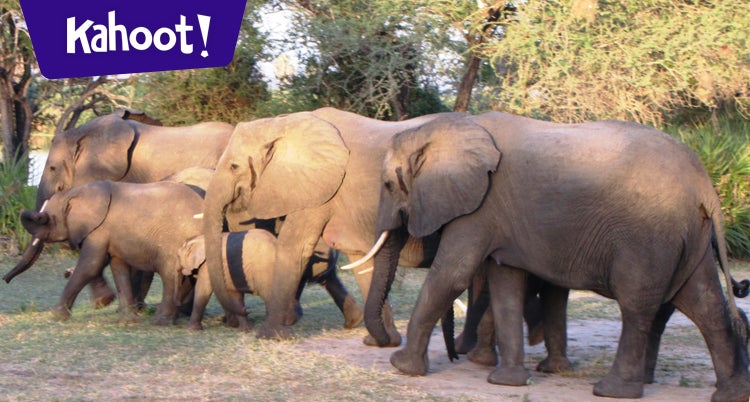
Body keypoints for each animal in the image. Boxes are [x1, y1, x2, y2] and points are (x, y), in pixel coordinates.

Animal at [18, 180, 204, 324]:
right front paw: (127, 321)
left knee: (169, 275)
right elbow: (118, 268)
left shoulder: (98, 231)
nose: (7, 280)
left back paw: (160, 321)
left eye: (45, 219)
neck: (75, 192)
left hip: (175, 242)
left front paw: (57, 315)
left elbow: (90, 266)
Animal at [176, 231, 363, 331]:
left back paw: (284, 323)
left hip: (265, 270)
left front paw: (192, 330)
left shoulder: (209, 266)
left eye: (178, 258)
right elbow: (234, 295)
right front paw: (244, 329)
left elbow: (204, 290)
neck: (199, 237)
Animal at [359, 112, 750, 401]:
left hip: (650, 237)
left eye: (388, 185)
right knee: (704, 304)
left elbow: (453, 272)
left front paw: (401, 366)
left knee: (638, 305)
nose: (455, 355)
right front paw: (505, 382)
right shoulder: (500, 218)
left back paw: (611, 391)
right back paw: (730, 394)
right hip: (688, 236)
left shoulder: (482, 209)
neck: (449, 129)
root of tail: (704, 183)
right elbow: (505, 283)